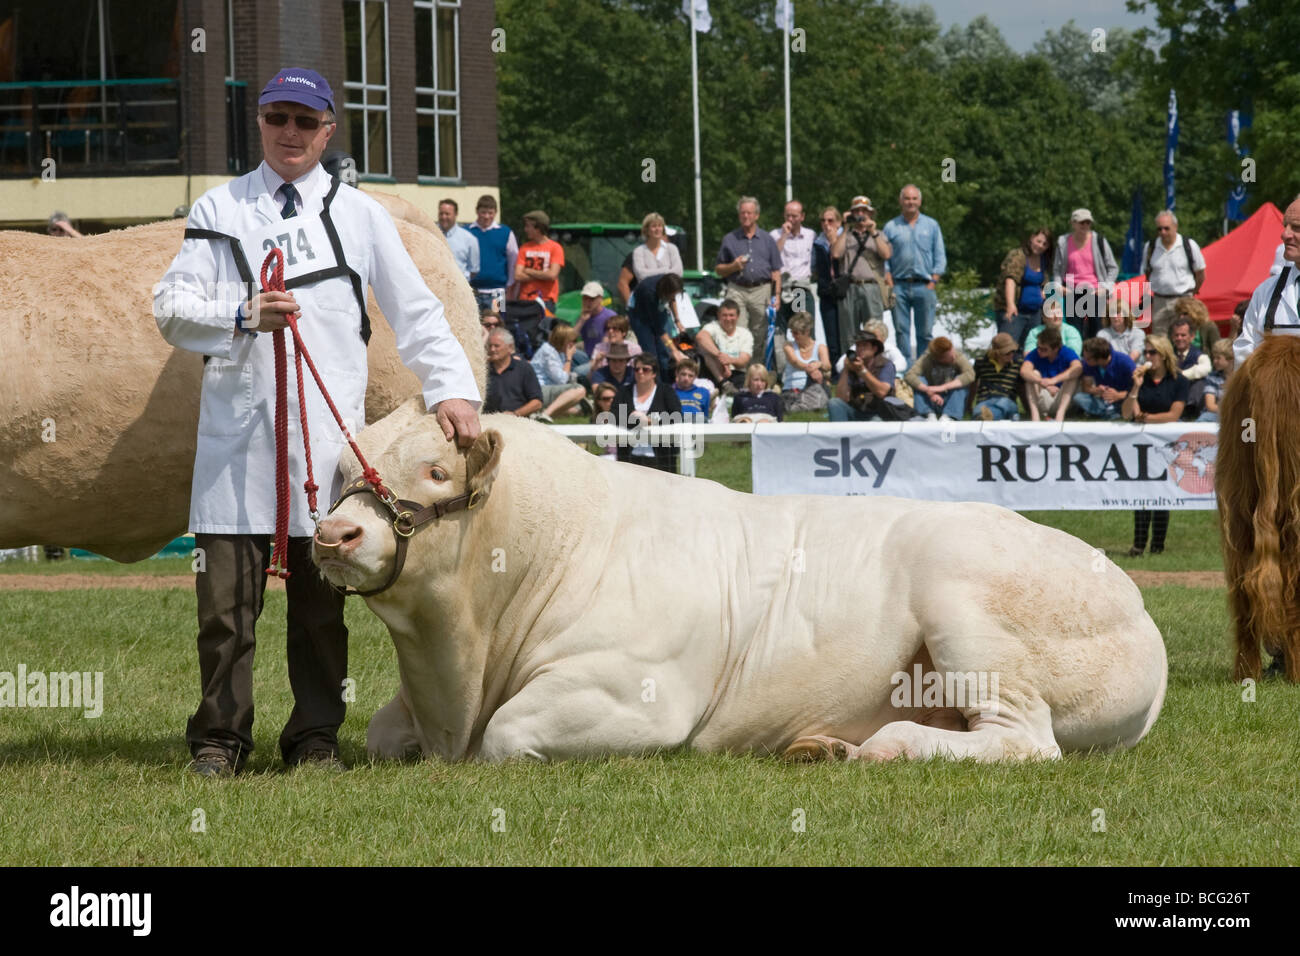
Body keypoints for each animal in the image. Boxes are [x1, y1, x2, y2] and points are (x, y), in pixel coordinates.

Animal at [313, 399, 1168, 763]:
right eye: (341, 465)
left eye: (435, 470)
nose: (333, 535)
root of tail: (1135, 605)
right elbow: (385, 735)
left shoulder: (637, 694)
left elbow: (506, 737)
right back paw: (824, 745)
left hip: (966, 605)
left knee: (1026, 741)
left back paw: (880, 746)